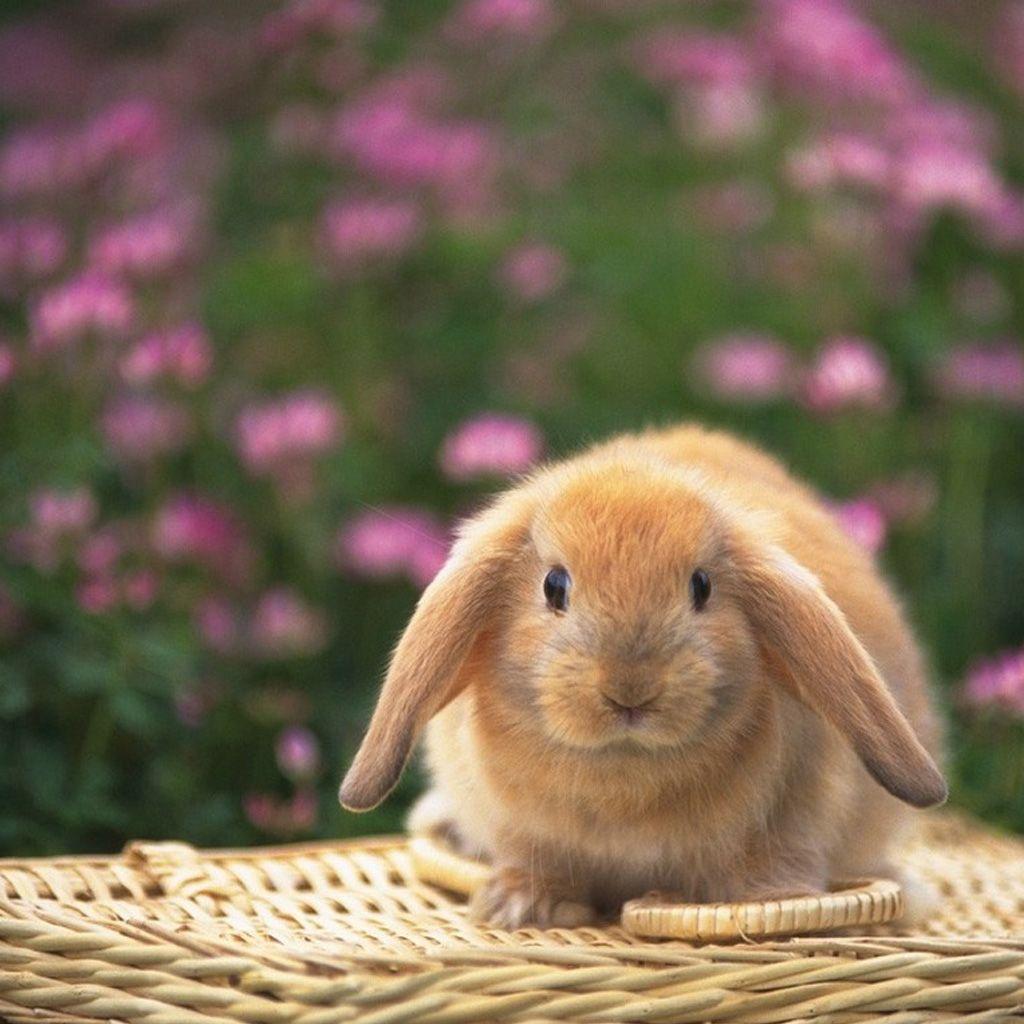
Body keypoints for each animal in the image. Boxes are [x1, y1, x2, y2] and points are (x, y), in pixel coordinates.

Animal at [340, 423, 947, 929]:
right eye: (554, 586)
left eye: (701, 586)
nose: (631, 688)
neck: (624, 776)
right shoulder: (518, 829)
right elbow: (532, 859)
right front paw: (522, 905)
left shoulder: (792, 818)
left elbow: (772, 867)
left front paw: (772, 903)